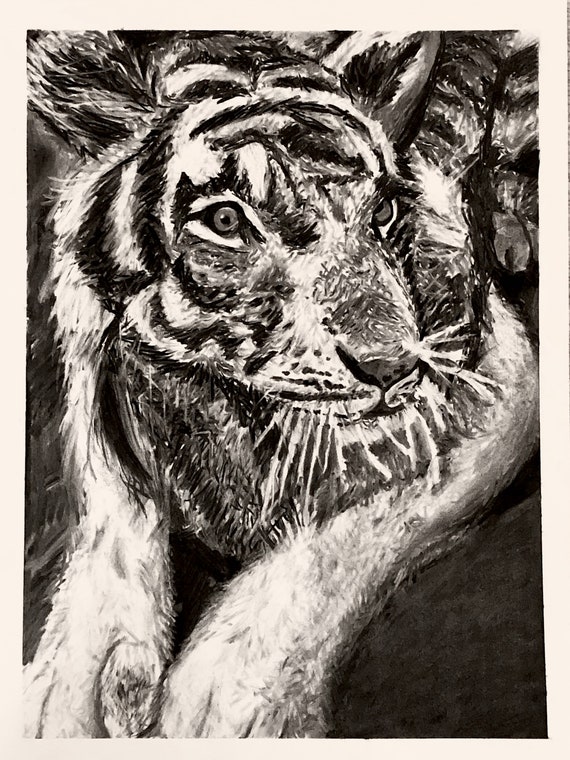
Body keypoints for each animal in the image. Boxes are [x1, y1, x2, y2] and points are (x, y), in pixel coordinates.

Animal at [24, 30, 539, 737]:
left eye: (382, 210)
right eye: (226, 221)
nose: (390, 365)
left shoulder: (492, 384)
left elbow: (350, 524)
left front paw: (219, 705)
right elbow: (115, 499)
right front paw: (75, 691)